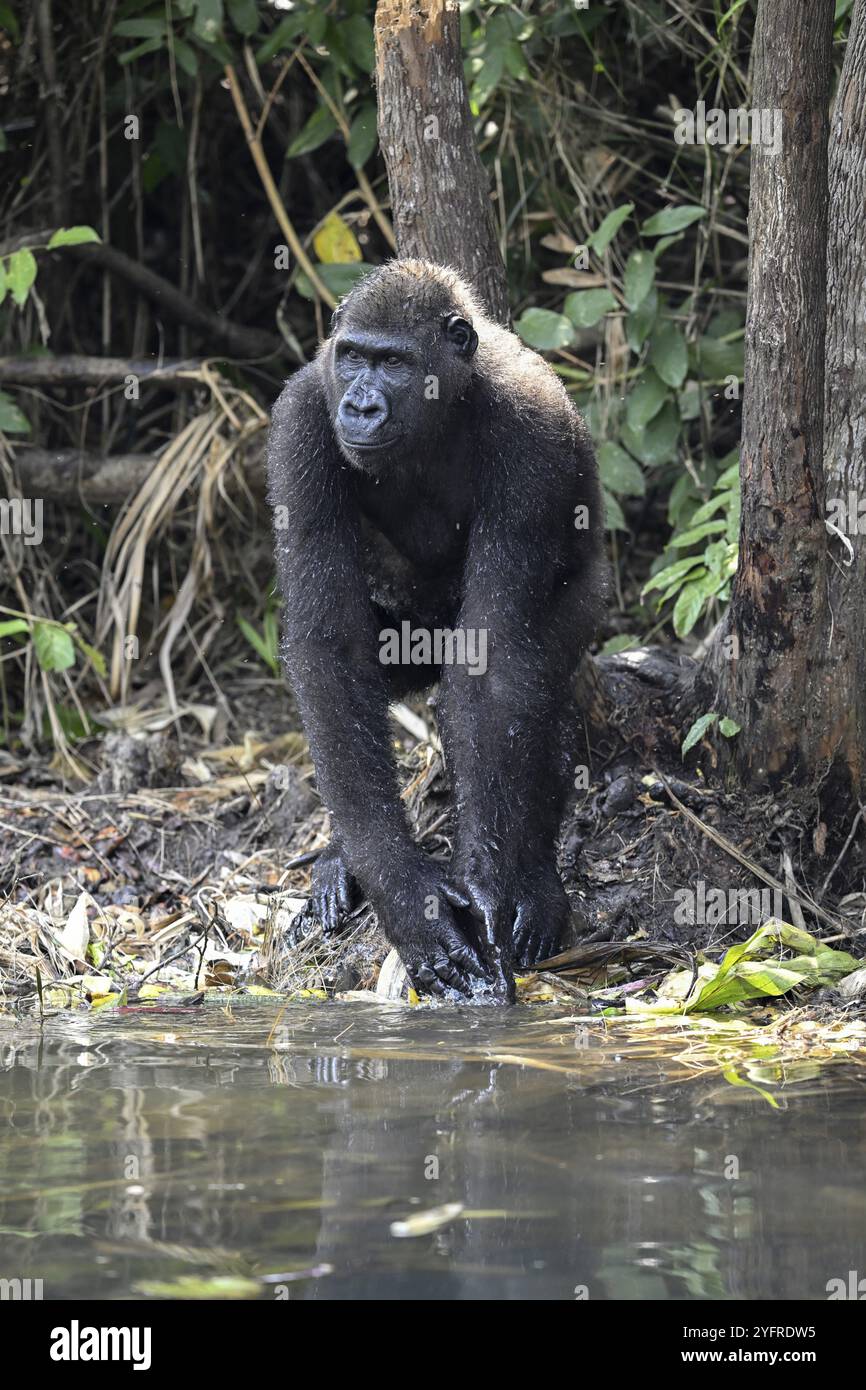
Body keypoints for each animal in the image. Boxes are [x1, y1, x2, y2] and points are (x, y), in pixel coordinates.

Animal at [268, 260, 607, 1000]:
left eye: (394, 364)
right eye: (353, 358)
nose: (361, 406)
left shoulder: (534, 433)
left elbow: (493, 665)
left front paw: (492, 882)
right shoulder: (301, 417)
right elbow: (331, 652)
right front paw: (403, 893)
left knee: (538, 678)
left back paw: (536, 882)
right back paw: (344, 859)